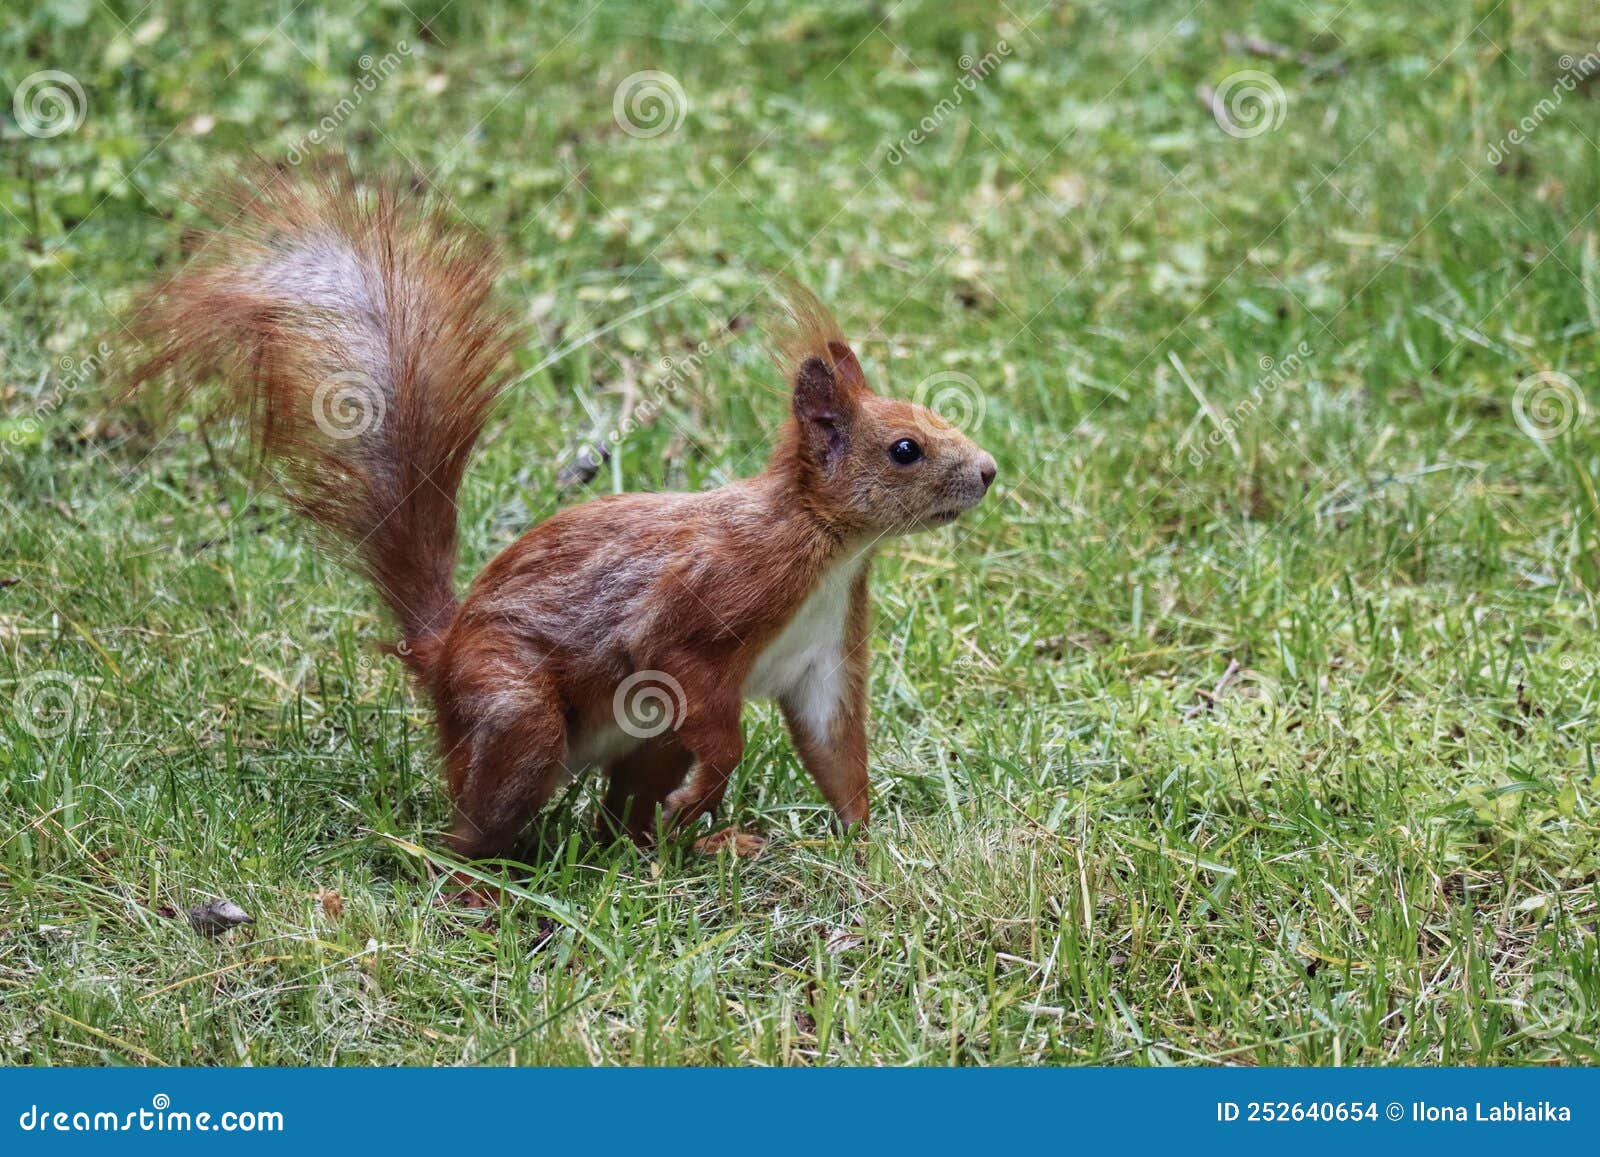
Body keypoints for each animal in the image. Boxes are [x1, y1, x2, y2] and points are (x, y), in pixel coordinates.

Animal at [126, 162, 997, 864]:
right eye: (906, 448)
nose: (988, 471)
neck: (829, 544)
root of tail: (440, 653)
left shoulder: (824, 650)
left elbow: (833, 747)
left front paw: (866, 847)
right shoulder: (719, 590)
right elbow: (694, 685)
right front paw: (716, 784)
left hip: (645, 739)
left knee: (622, 824)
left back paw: (690, 850)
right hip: (515, 709)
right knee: (475, 822)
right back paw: (478, 881)